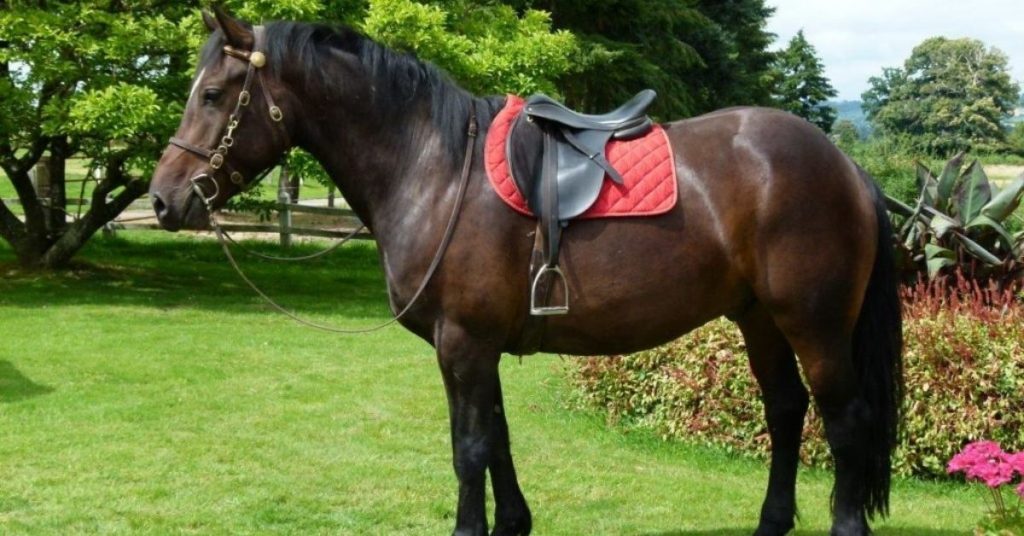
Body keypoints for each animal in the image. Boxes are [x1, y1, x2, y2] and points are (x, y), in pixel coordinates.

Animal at [150, 9, 903, 536]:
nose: (163, 199)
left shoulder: (464, 342)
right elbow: (496, 438)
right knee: (786, 411)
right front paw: (513, 521)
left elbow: (470, 447)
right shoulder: (472, 348)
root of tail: (845, 165)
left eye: (213, 94)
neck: (434, 167)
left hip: (814, 325)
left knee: (844, 420)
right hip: (759, 319)